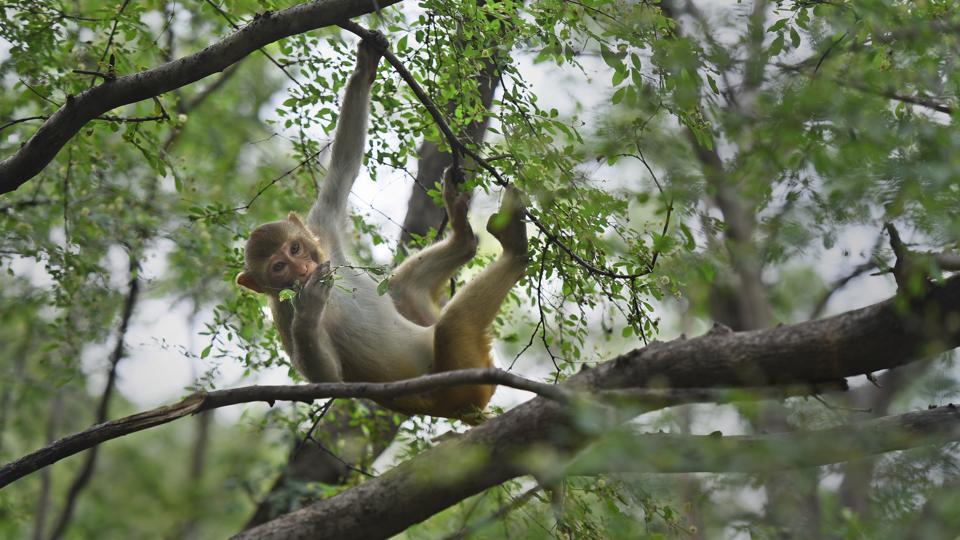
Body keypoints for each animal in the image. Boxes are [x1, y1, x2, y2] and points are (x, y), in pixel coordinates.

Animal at [236, 35, 528, 421]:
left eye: (295, 248)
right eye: (280, 267)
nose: (303, 268)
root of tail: (458, 411)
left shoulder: (322, 231)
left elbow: (341, 174)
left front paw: (365, 66)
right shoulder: (281, 312)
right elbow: (329, 380)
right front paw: (310, 309)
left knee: (403, 288)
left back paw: (463, 232)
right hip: (463, 383)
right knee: (452, 326)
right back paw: (515, 249)